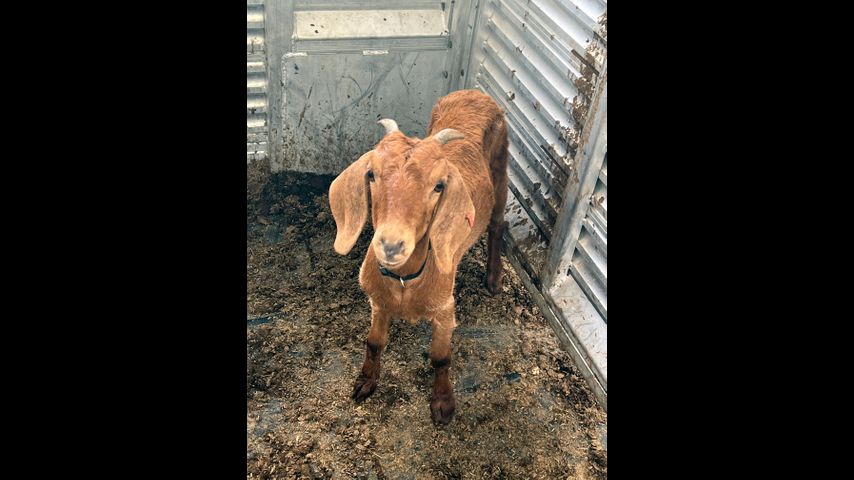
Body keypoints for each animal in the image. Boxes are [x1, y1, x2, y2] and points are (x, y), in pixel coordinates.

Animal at [328, 89, 509, 425]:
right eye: (371, 174)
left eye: (439, 185)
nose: (391, 245)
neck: (405, 281)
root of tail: (475, 91)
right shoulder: (378, 302)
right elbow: (374, 342)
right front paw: (365, 381)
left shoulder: (445, 310)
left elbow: (440, 357)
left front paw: (443, 404)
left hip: (502, 167)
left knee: (497, 223)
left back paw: (493, 279)